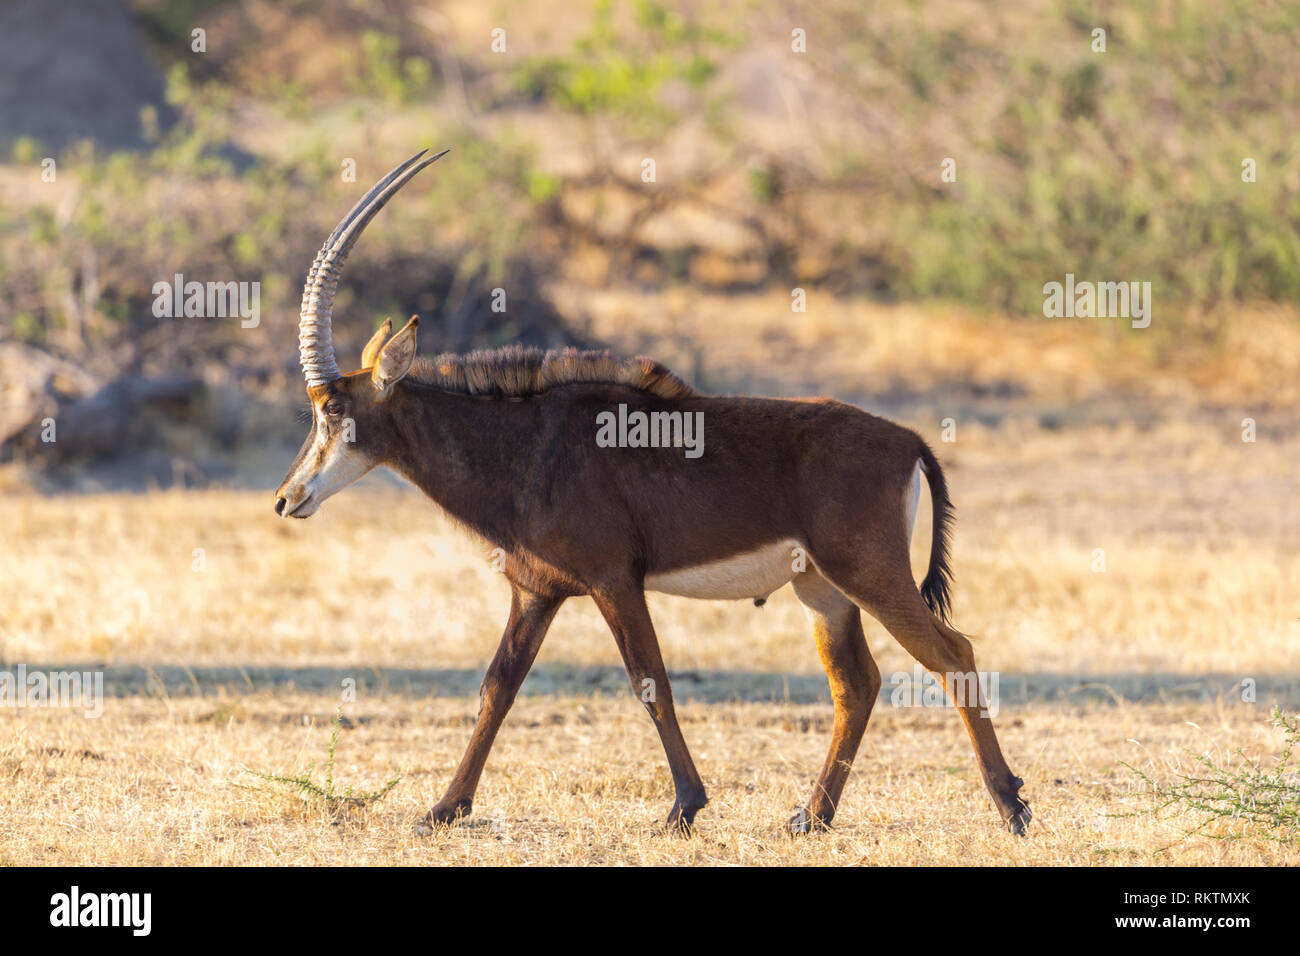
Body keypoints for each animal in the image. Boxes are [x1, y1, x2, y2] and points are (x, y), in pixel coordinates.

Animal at [275, 149, 1031, 836]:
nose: (286, 499)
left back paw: (1011, 806)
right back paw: (810, 818)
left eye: (332, 409)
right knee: (858, 684)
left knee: (952, 654)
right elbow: (497, 688)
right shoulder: (537, 590)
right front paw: (441, 810)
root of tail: (908, 441)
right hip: (820, 587)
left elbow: (650, 682)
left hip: (868, 571)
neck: (529, 444)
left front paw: (685, 807)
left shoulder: (614, 580)